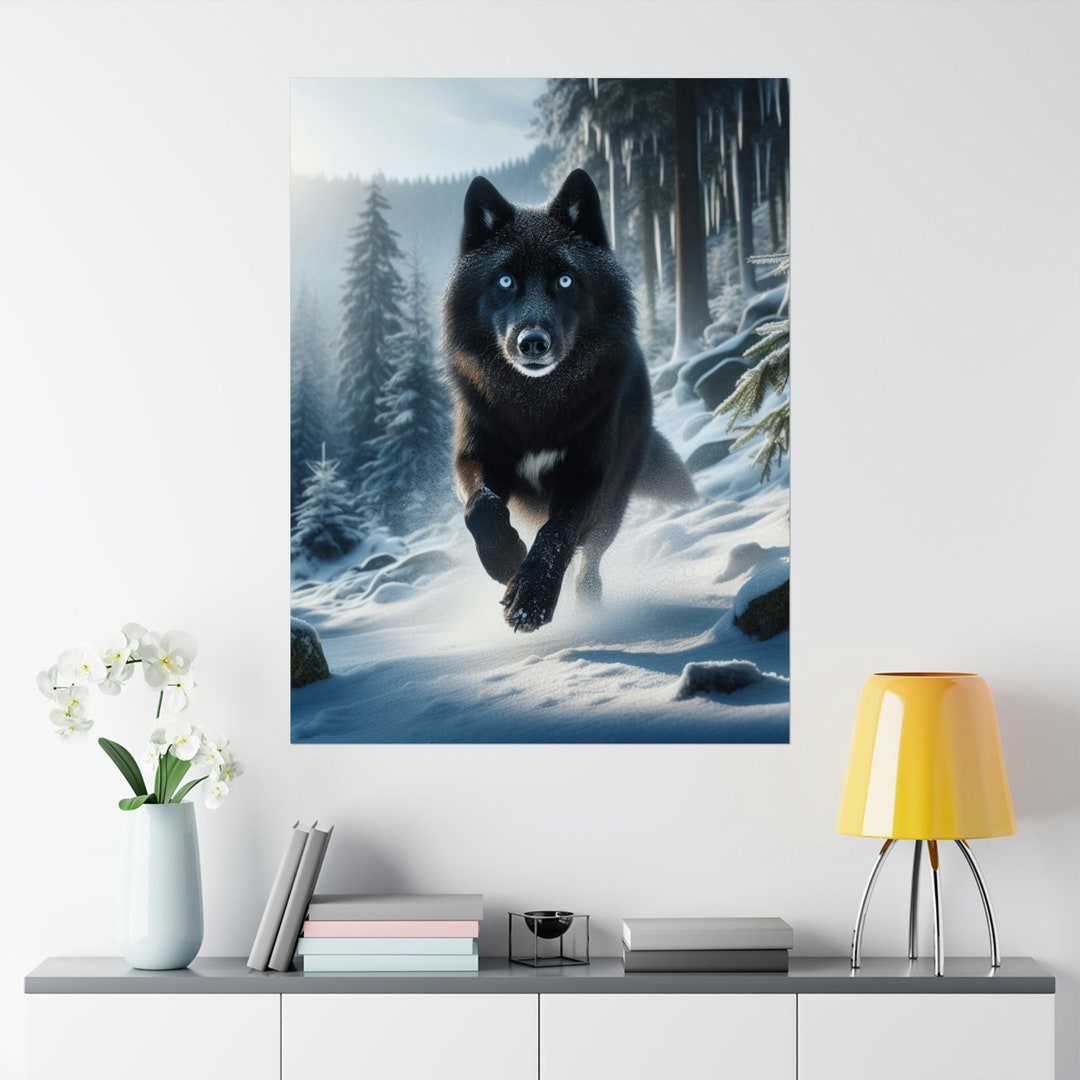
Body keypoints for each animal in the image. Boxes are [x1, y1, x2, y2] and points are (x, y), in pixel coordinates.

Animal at [442, 169, 695, 632]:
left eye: (565, 280)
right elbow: (480, 508)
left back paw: (590, 603)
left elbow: (557, 533)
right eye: (505, 280)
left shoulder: (588, 475)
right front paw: (505, 561)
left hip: (615, 498)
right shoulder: (474, 455)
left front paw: (531, 599)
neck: (536, 403)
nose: (532, 342)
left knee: (591, 556)